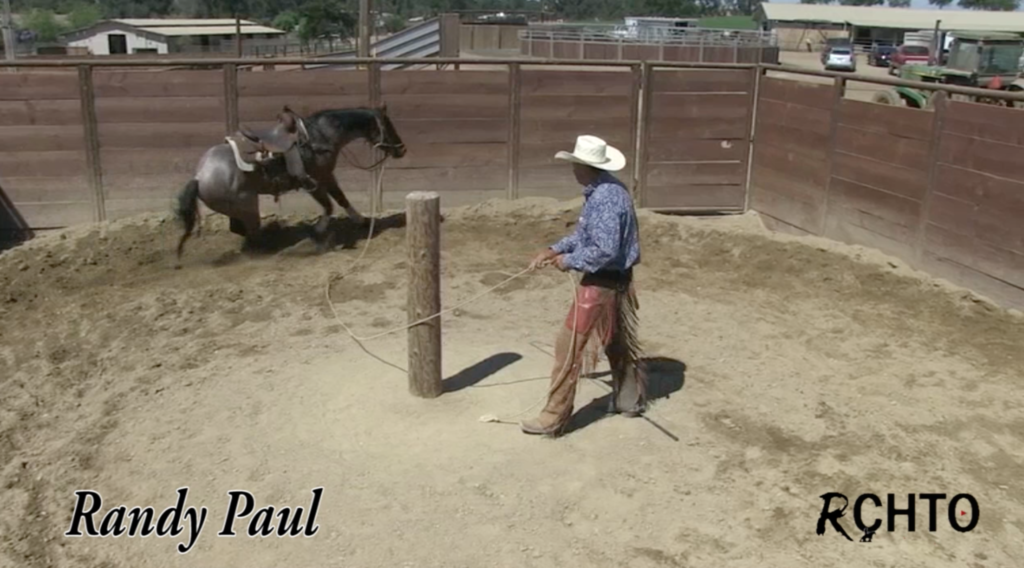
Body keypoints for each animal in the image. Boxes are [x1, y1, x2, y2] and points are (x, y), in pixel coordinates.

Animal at [173, 103, 406, 259]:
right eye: (388, 125)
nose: (402, 149)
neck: (319, 137)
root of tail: (199, 176)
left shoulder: (324, 176)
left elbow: (340, 199)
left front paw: (361, 220)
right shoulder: (316, 178)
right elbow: (331, 204)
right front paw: (319, 235)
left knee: (242, 231)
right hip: (247, 206)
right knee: (252, 234)